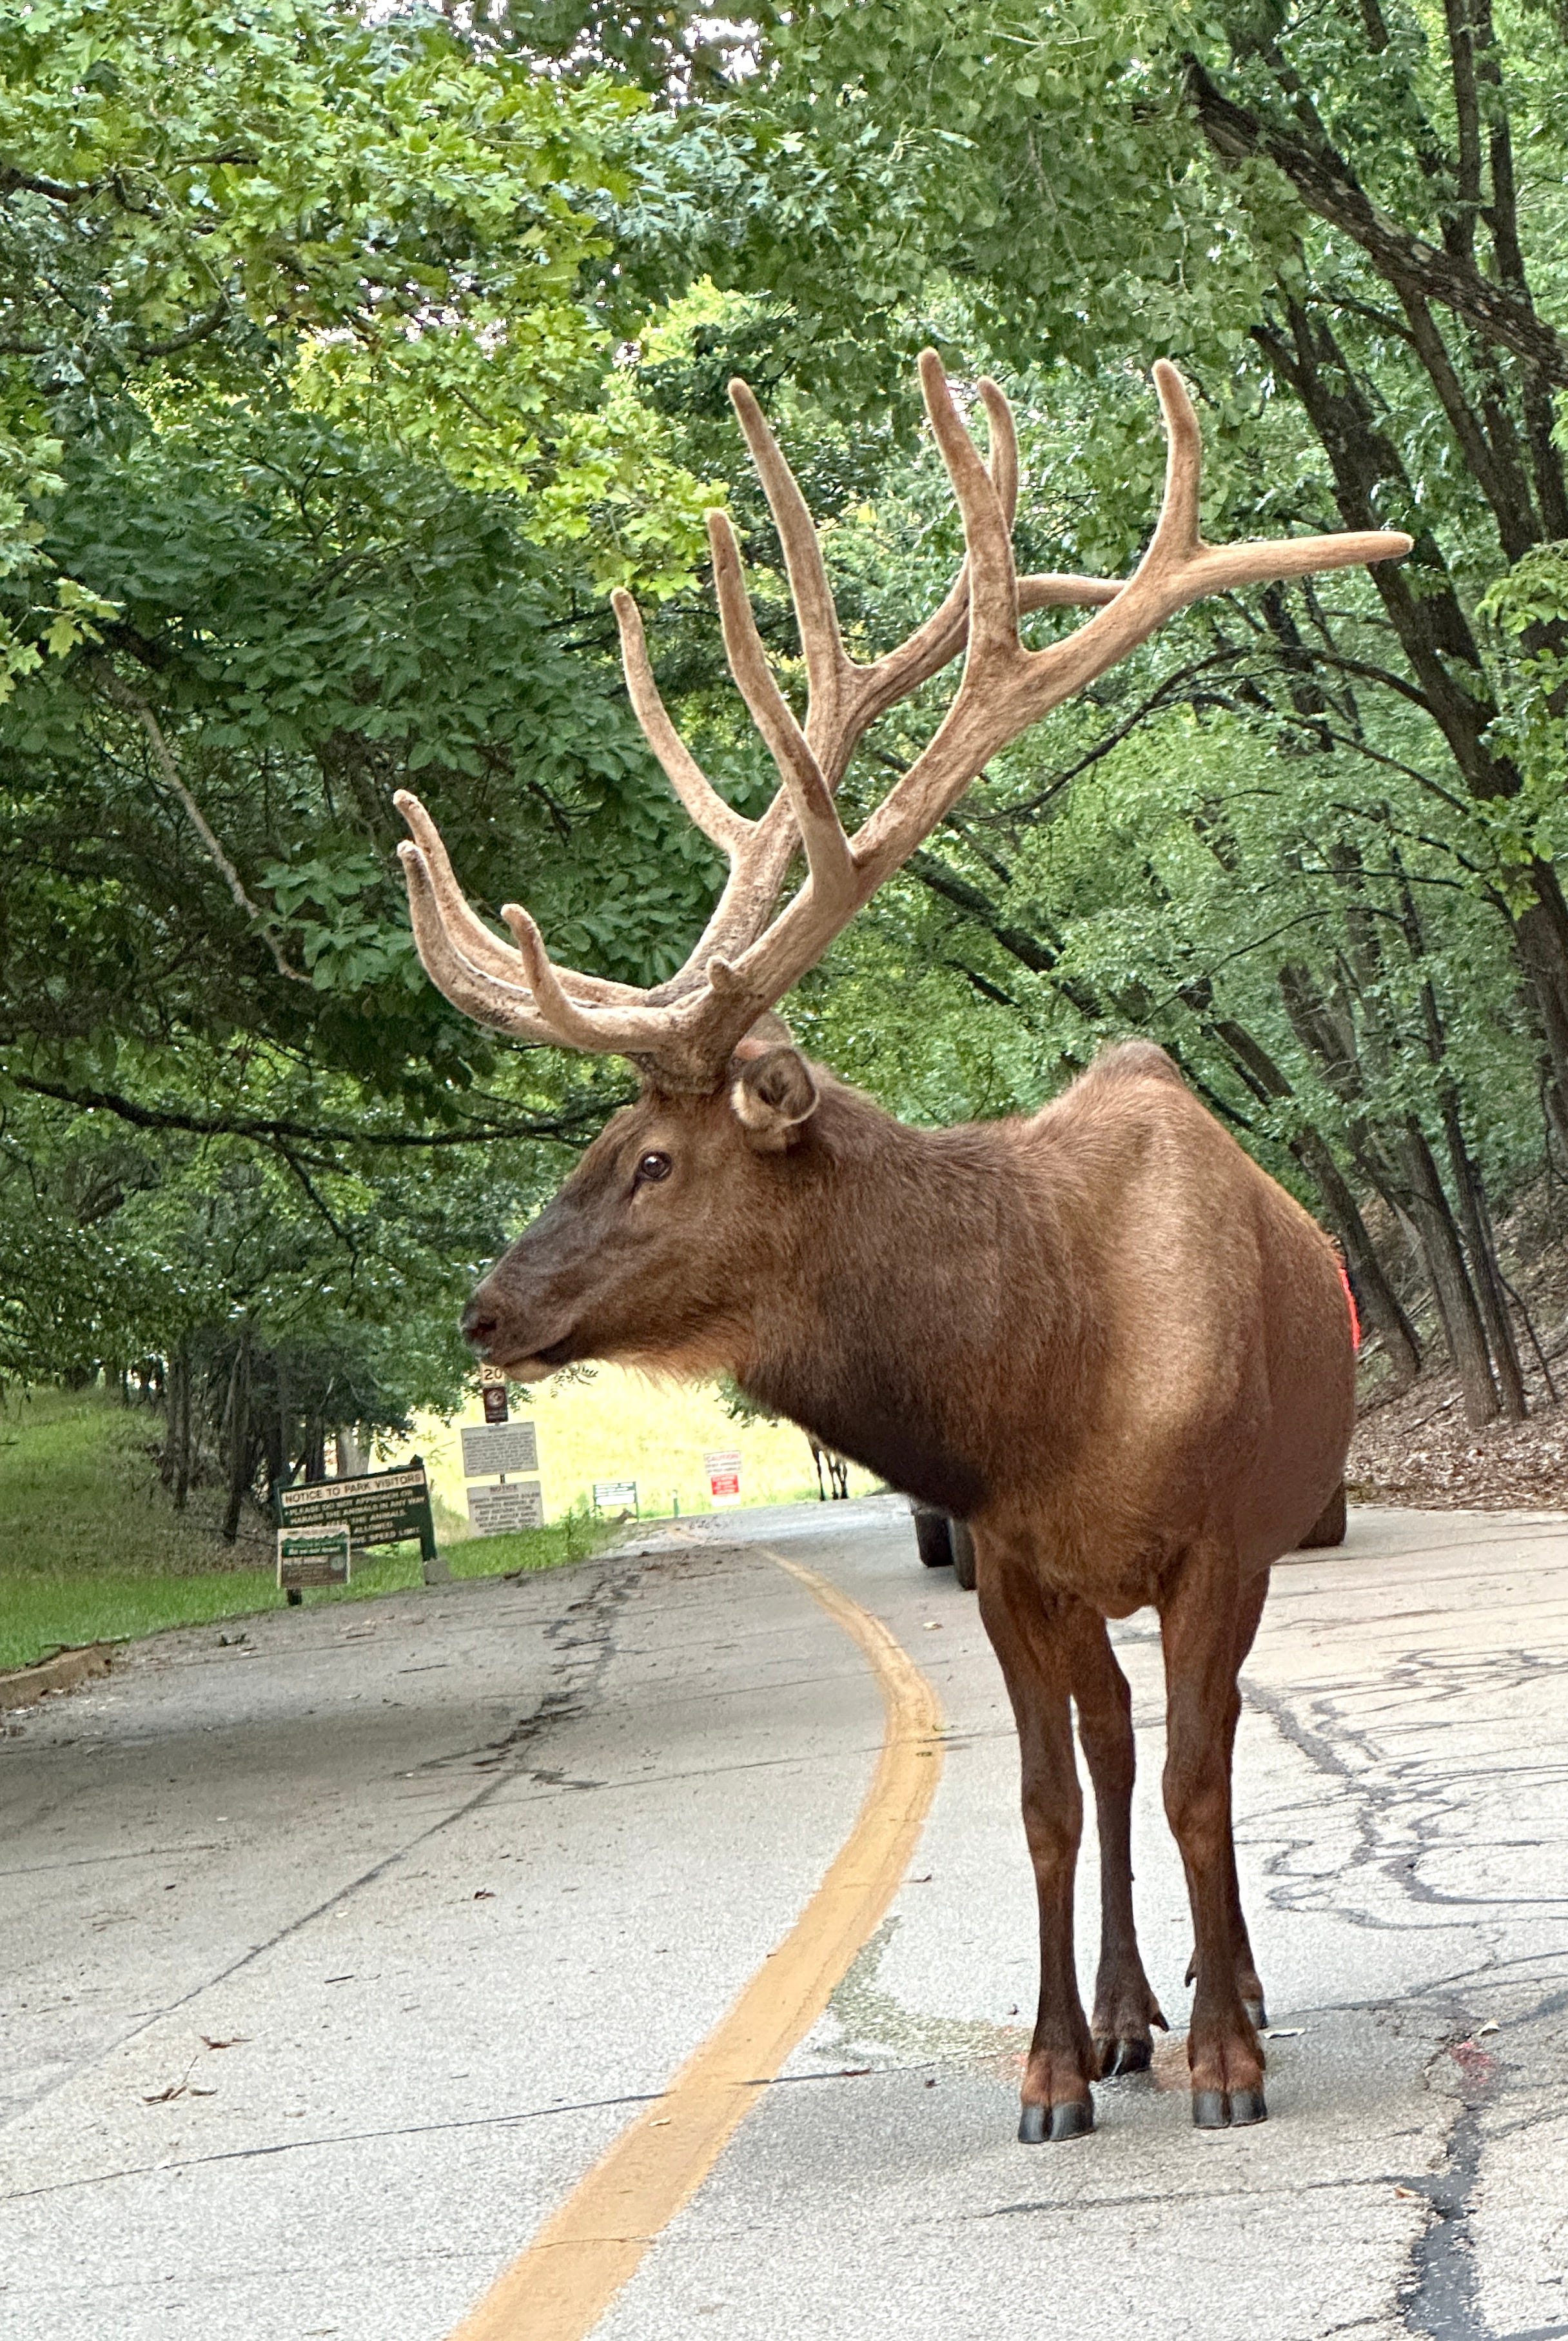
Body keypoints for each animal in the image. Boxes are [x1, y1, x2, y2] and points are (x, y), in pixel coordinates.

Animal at [394, 350, 1408, 2139]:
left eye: (649, 1157)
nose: (488, 1310)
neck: (1056, 1379)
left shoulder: (1222, 1541)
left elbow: (1207, 1781)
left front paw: (1229, 2055)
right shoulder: (1007, 1559)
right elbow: (1048, 1798)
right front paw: (1055, 2066)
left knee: (1186, 1754)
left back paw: (1221, 2000)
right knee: (1113, 1746)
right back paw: (1132, 2010)